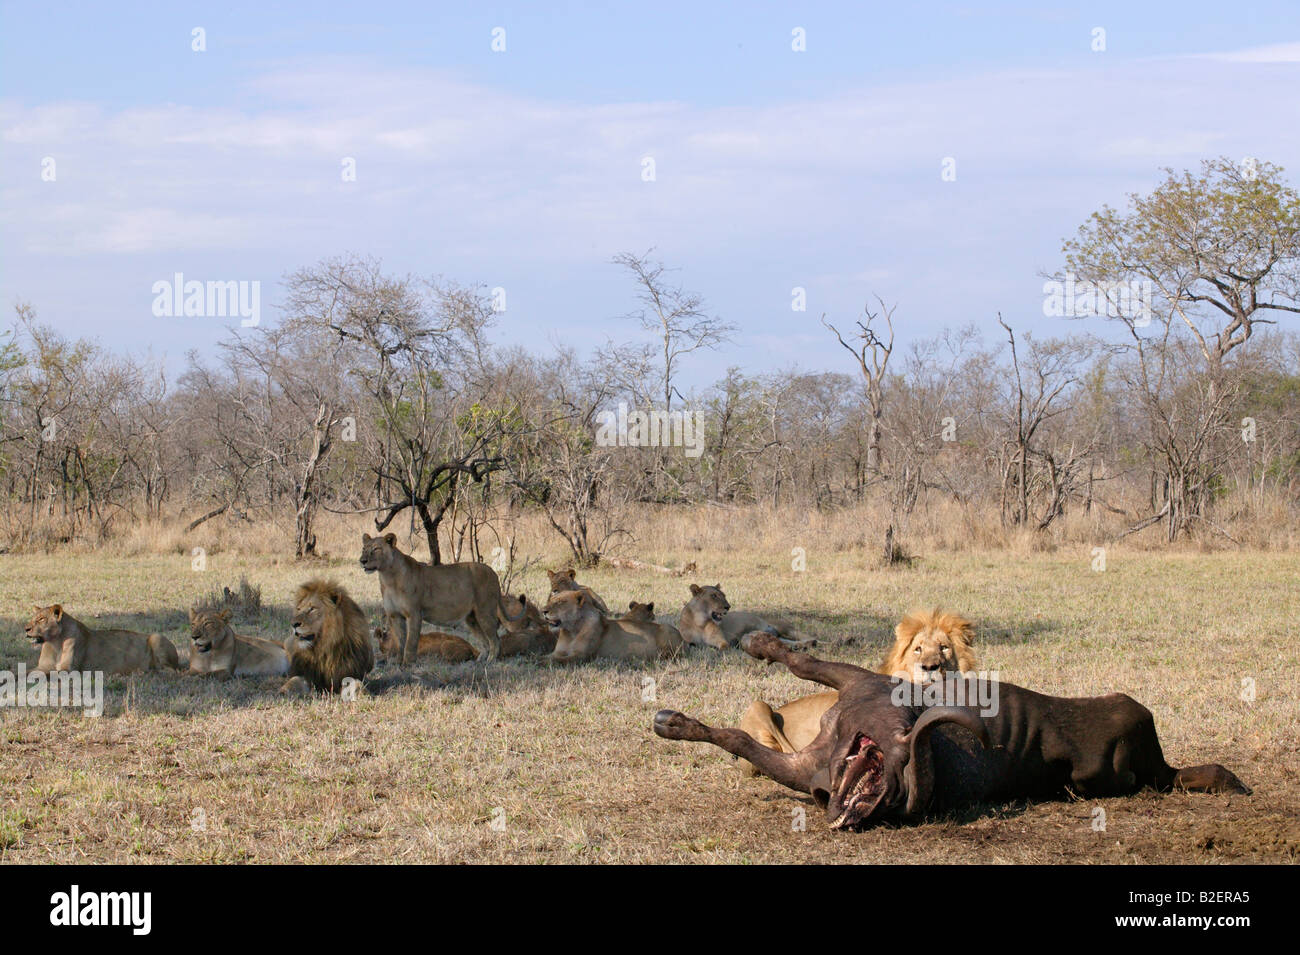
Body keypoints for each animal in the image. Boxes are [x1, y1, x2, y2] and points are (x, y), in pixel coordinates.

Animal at [25, 604, 181, 675]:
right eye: (33, 618)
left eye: (41, 619)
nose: (26, 629)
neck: (54, 642)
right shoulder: (44, 666)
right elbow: (26, 671)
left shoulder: (68, 670)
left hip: (156, 637)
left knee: (170, 670)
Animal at [360, 533, 527, 665]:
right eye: (364, 549)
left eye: (376, 549)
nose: (362, 560)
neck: (388, 577)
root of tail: (493, 572)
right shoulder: (395, 615)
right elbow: (399, 641)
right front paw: (398, 662)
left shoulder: (414, 614)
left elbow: (411, 642)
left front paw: (408, 663)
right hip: (471, 618)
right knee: (485, 641)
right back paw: (479, 661)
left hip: (484, 612)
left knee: (495, 640)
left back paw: (491, 661)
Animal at [676, 584, 815, 651]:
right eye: (714, 596)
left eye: (723, 595)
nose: (728, 606)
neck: (701, 621)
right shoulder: (686, 640)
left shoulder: (722, 641)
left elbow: (721, 647)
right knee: (785, 642)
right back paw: (798, 646)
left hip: (782, 626)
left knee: (805, 636)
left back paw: (811, 642)